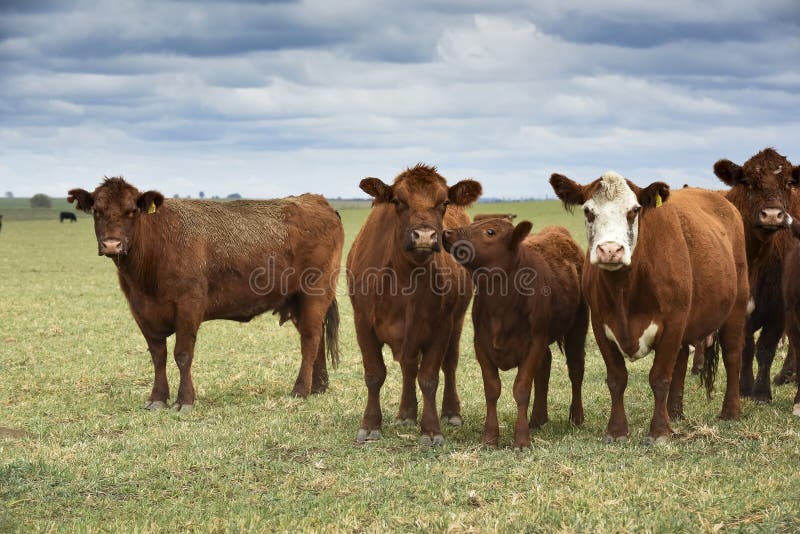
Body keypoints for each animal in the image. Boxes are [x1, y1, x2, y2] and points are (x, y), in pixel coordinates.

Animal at [67, 177, 344, 412]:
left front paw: (185, 400)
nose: (112, 244)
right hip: (296, 302)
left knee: (310, 340)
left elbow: (182, 354)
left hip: (314, 295)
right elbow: (158, 356)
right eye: (97, 211)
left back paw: (300, 390)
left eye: (132, 211)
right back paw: (318, 386)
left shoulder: (189, 307)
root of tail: (316, 200)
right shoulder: (141, 311)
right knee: (316, 339)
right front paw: (157, 398)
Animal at [348, 164, 482, 445]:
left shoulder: (441, 326)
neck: (404, 278)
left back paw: (451, 412)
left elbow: (429, 377)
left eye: (444, 202)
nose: (424, 236)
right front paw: (370, 424)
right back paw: (406, 413)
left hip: (458, 320)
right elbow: (374, 374)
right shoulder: (362, 322)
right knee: (408, 367)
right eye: (398, 201)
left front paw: (431, 429)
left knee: (449, 363)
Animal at [442, 218, 587, 449]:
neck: (500, 303)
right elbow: (492, 390)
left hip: (578, 326)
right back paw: (537, 418)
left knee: (576, 368)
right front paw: (490, 437)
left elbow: (521, 389)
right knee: (545, 366)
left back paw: (576, 417)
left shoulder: (534, 345)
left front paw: (521, 439)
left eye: (490, 232)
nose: (447, 233)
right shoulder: (481, 345)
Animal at [550, 173, 747, 444]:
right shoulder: (600, 325)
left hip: (736, 306)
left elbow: (660, 377)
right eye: (589, 211)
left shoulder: (673, 322)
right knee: (681, 361)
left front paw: (659, 431)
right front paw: (617, 430)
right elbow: (617, 378)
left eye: (634, 210)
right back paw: (674, 413)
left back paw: (730, 411)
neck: (625, 289)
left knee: (733, 355)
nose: (610, 250)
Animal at [714, 148, 800, 402]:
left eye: (789, 182)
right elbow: (745, 348)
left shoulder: (778, 308)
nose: (772, 215)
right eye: (748, 182)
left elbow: (766, 347)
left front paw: (761, 392)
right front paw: (744, 387)